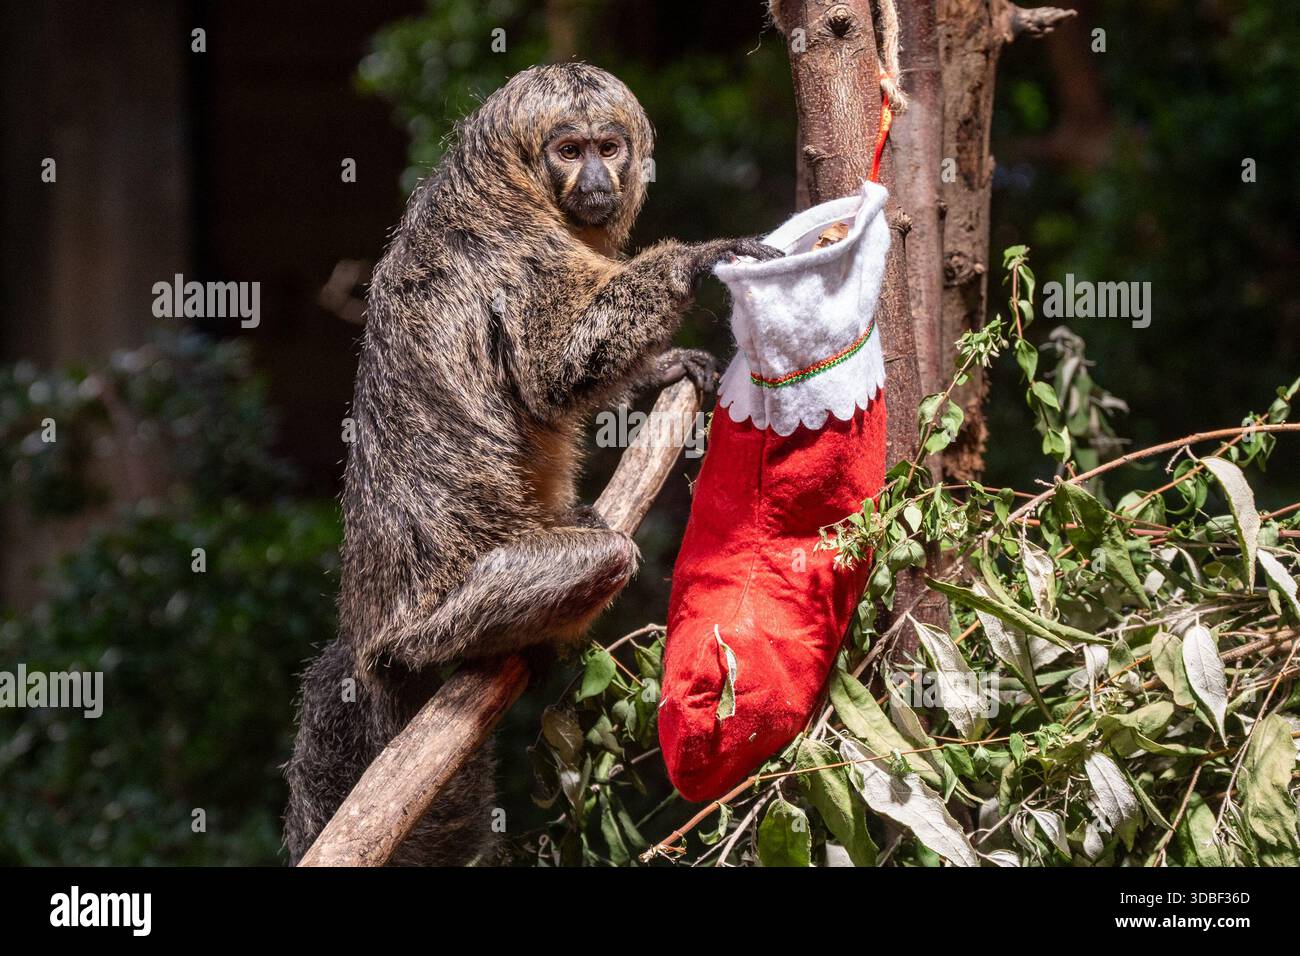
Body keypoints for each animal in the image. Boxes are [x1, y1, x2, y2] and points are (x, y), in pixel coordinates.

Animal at [283, 62, 782, 866]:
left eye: (608, 146)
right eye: (569, 149)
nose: (597, 178)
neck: (509, 186)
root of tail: (370, 625)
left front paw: (666, 365)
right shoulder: (515, 250)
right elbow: (553, 371)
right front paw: (694, 261)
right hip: (440, 615)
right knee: (603, 559)